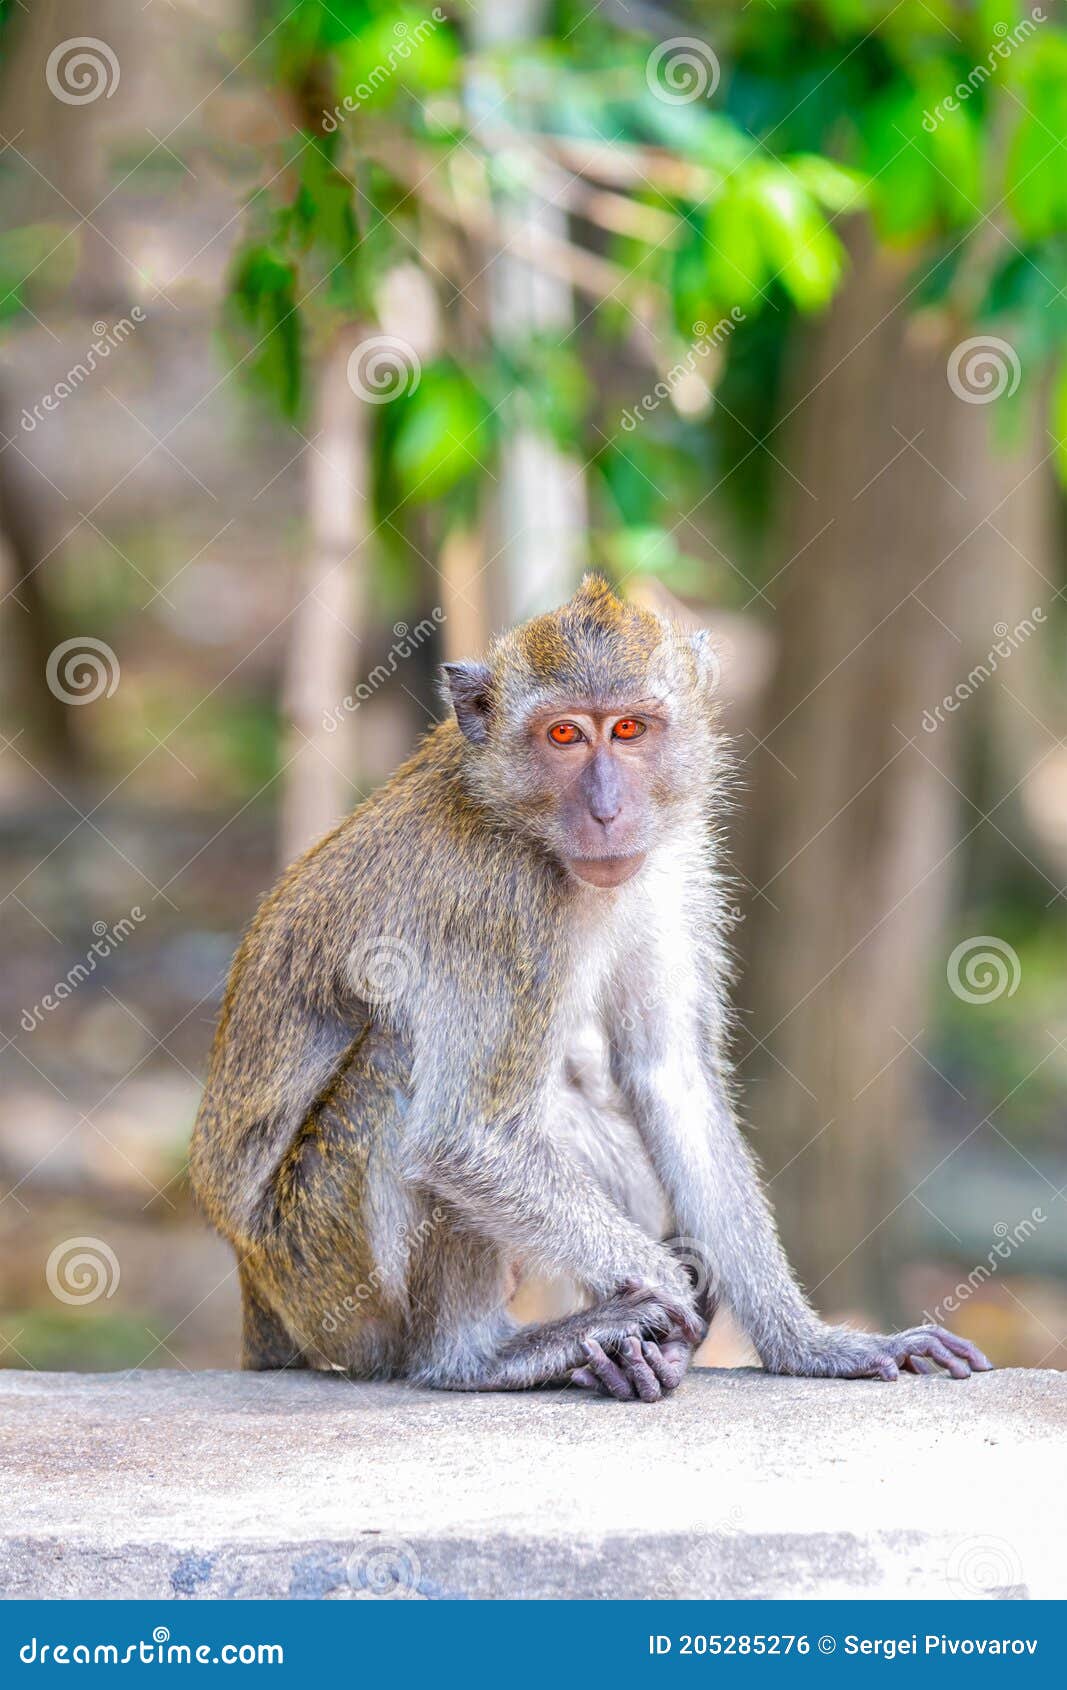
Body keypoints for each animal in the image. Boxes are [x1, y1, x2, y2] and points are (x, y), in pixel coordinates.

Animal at [190, 575, 991, 1401]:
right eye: (565, 735)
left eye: (629, 729)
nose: (607, 810)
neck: (522, 822)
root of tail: (253, 1284)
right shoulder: (502, 903)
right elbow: (467, 1138)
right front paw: (670, 1291)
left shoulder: (668, 862)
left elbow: (670, 1078)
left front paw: (810, 1344)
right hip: (324, 1271)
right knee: (402, 1067)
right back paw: (480, 1356)